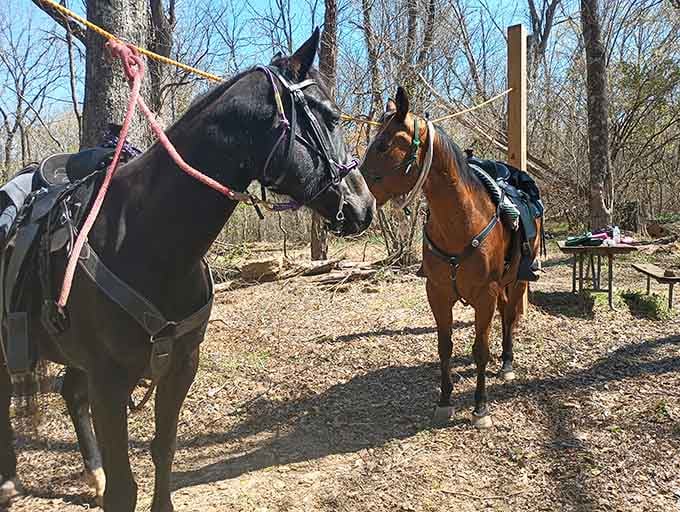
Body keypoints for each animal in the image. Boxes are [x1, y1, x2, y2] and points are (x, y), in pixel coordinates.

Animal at [0, 29, 375, 511]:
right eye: (328, 117)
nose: (364, 206)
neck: (150, 239)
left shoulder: (181, 366)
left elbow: (164, 449)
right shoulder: (110, 381)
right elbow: (125, 489)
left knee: (70, 395)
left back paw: (92, 474)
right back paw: (11, 479)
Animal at [360, 86, 540, 429]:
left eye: (384, 144)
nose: (355, 196)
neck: (461, 222)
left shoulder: (485, 295)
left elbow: (481, 349)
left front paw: (480, 408)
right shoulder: (438, 293)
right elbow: (445, 347)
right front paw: (444, 401)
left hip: (518, 280)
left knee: (509, 316)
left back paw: (507, 363)